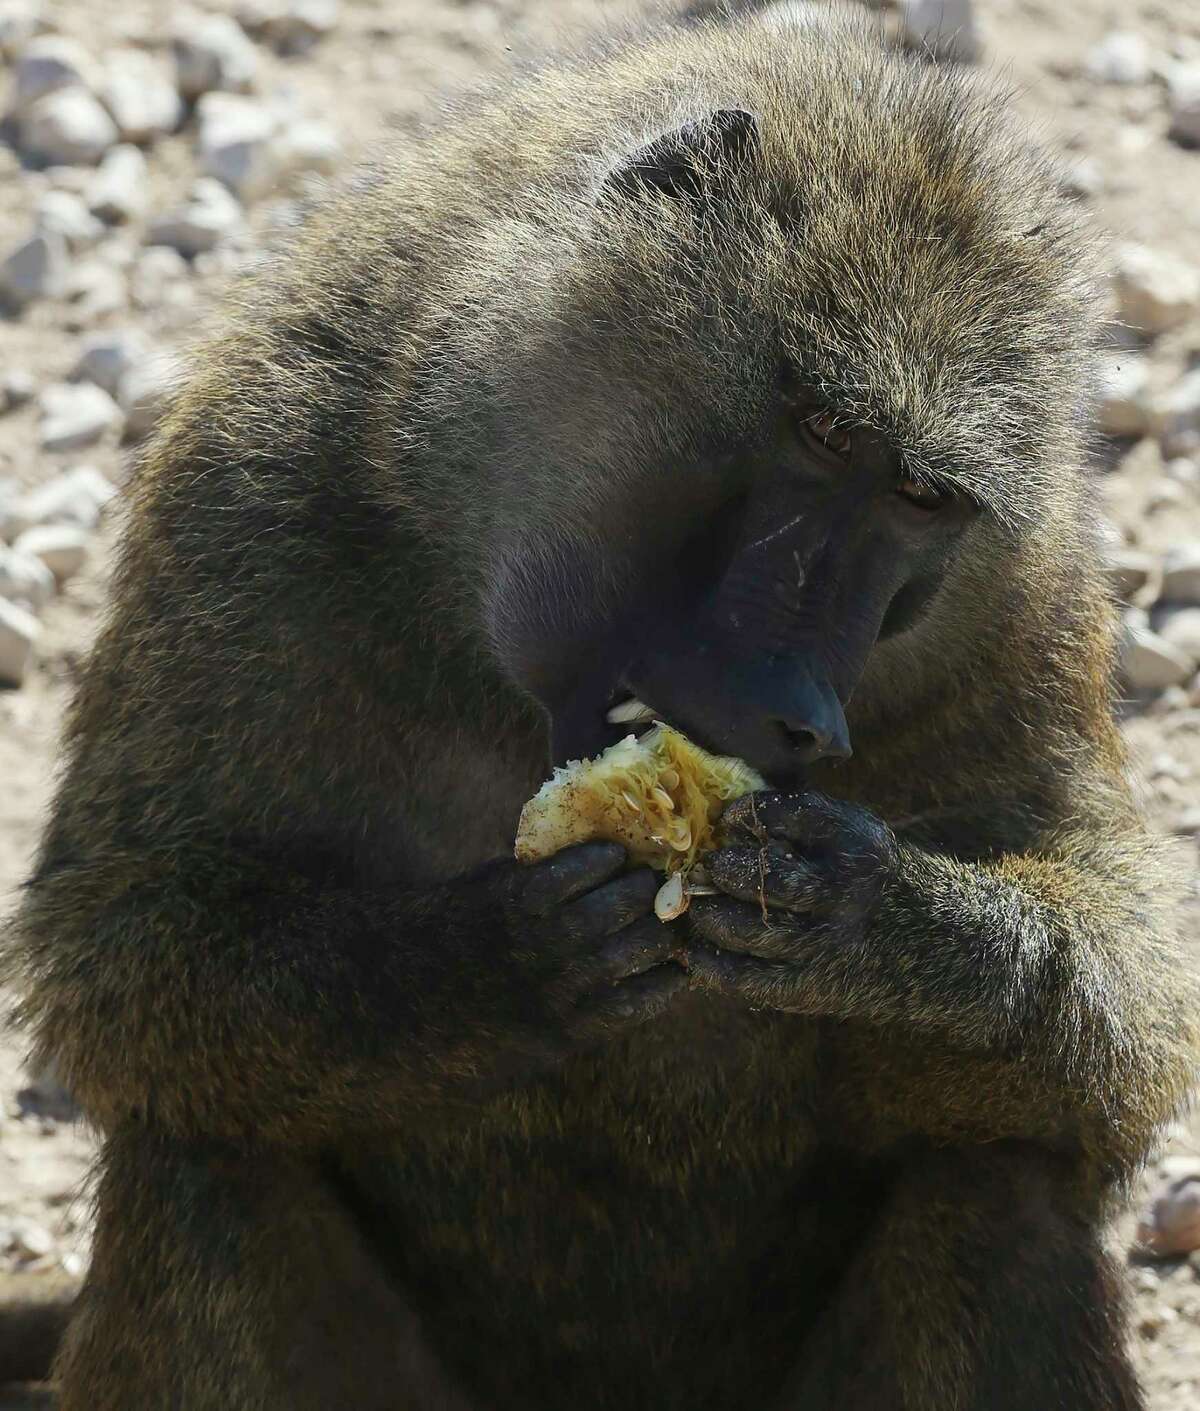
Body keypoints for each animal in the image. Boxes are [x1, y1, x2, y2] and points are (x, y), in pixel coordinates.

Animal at [2, 9, 1197, 1409]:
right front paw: (493, 961)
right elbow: (117, 946)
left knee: (999, 1186)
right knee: (207, 1167)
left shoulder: (1029, 610)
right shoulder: (250, 487)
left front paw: (877, 921)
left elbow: (1116, 1044)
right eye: (823, 426)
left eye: (923, 498)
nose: (803, 711)